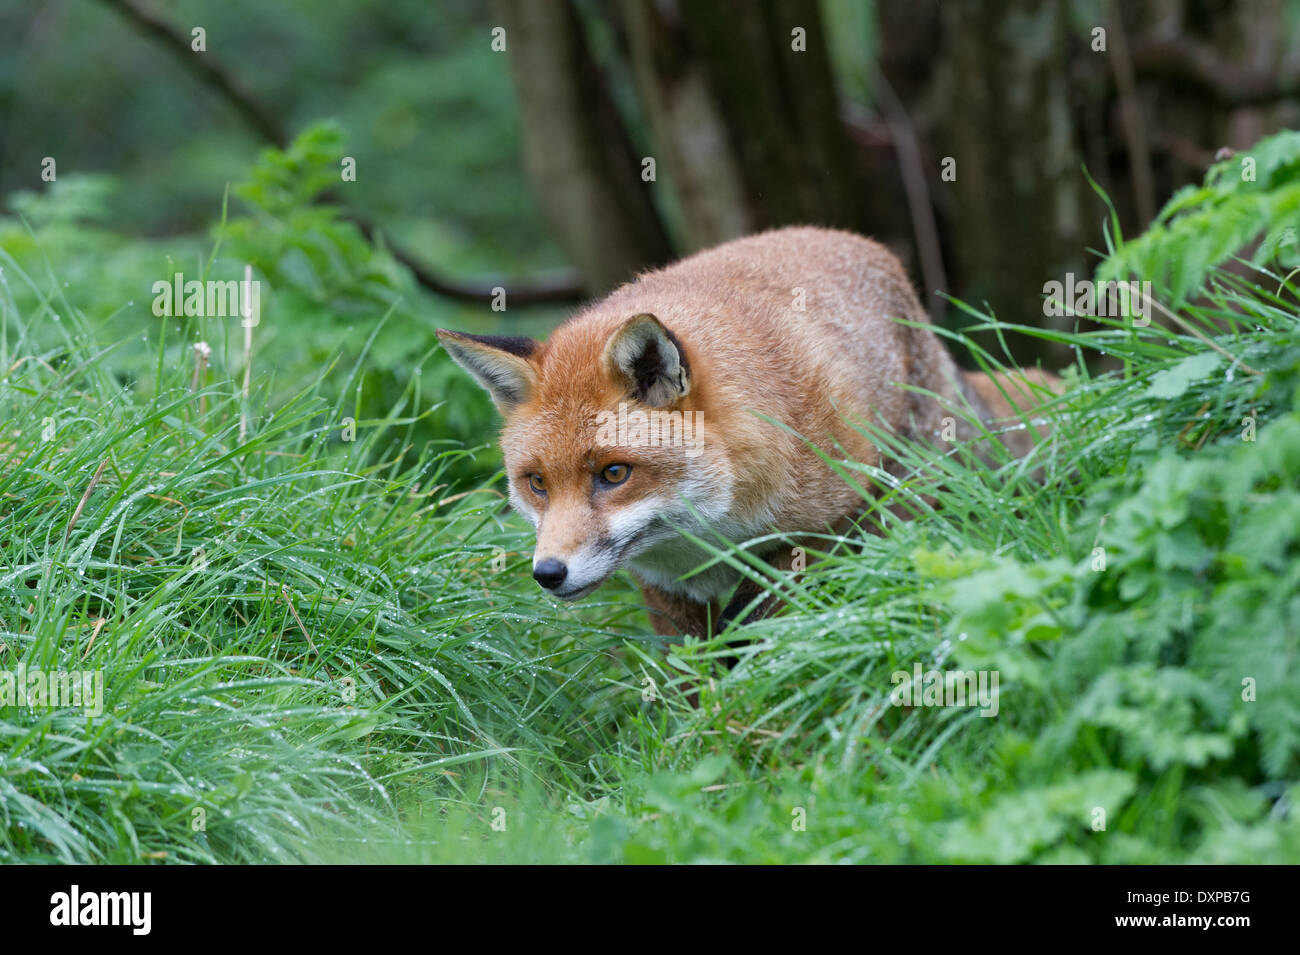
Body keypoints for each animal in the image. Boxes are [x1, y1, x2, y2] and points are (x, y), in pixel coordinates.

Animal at [438, 227, 1059, 639]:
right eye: (537, 483)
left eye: (614, 473)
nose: (548, 574)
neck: (708, 534)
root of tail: (868, 245)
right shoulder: (665, 590)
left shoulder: (814, 537)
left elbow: (754, 640)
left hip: (900, 506)